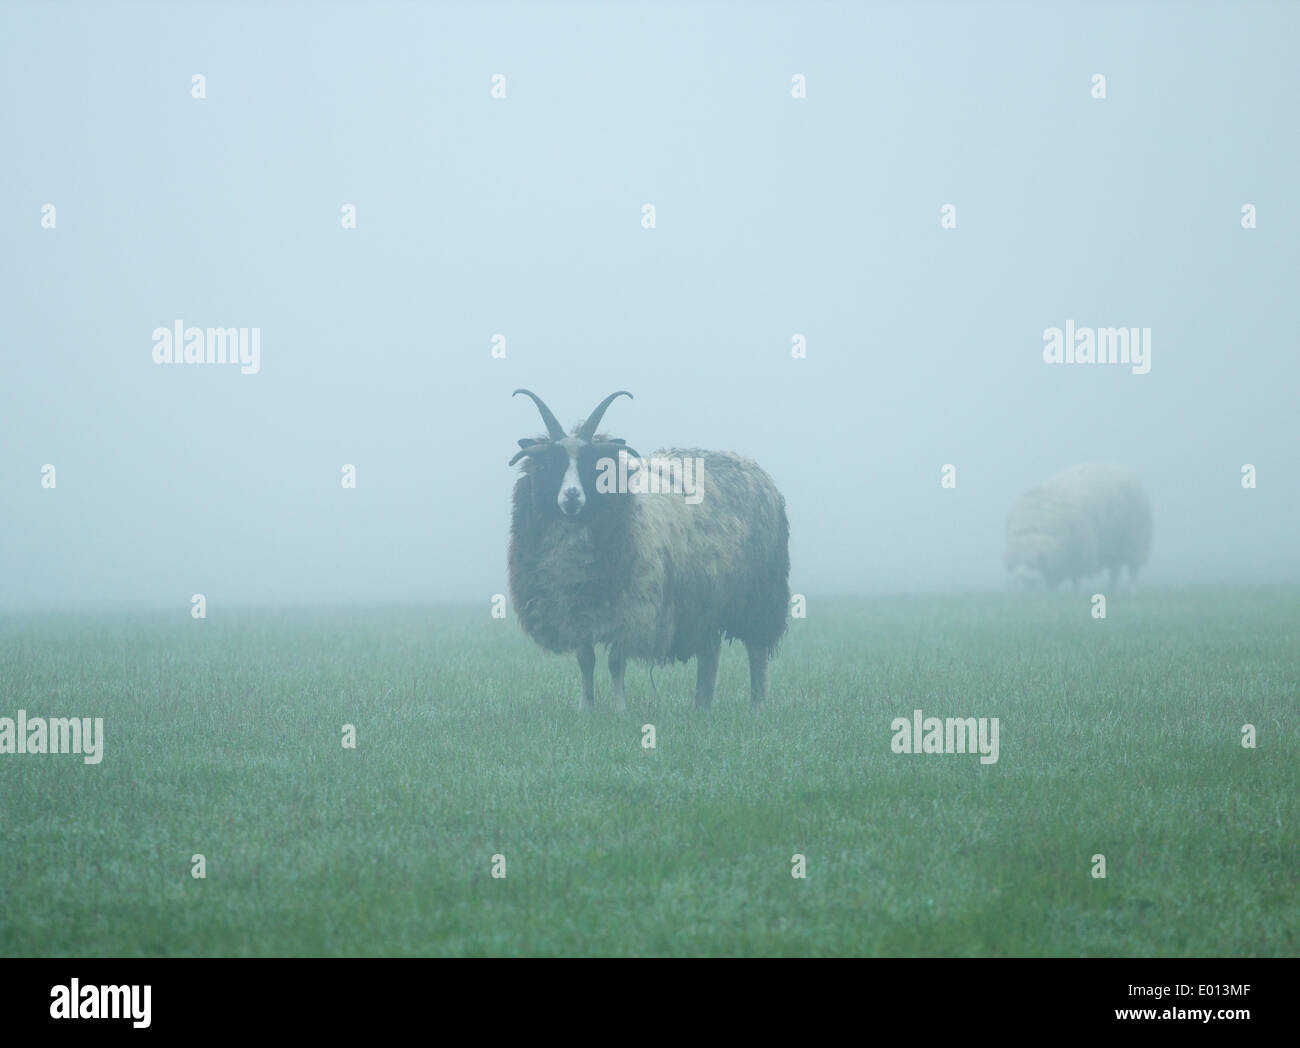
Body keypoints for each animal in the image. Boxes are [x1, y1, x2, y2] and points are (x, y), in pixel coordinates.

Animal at [507, 389, 790, 711]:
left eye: (594, 465)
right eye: (549, 464)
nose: (571, 496)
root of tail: (751, 466)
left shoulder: (632, 610)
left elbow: (616, 663)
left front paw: (620, 710)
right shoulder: (574, 612)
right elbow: (586, 661)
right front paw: (586, 708)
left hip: (760, 595)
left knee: (757, 651)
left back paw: (757, 705)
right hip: (705, 598)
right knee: (710, 653)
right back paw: (701, 706)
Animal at [1004, 461, 1152, 589]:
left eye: (1038, 560)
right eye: (1015, 560)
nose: (1024, 583)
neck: (1036, 525)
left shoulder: (1079, 553)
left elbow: (1076, 578)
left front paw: (1075, 591)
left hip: (1135, 540)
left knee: (1133, 570)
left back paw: (1132, 589)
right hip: (1114, 547)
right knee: (1114, 571)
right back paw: (1112, 588)